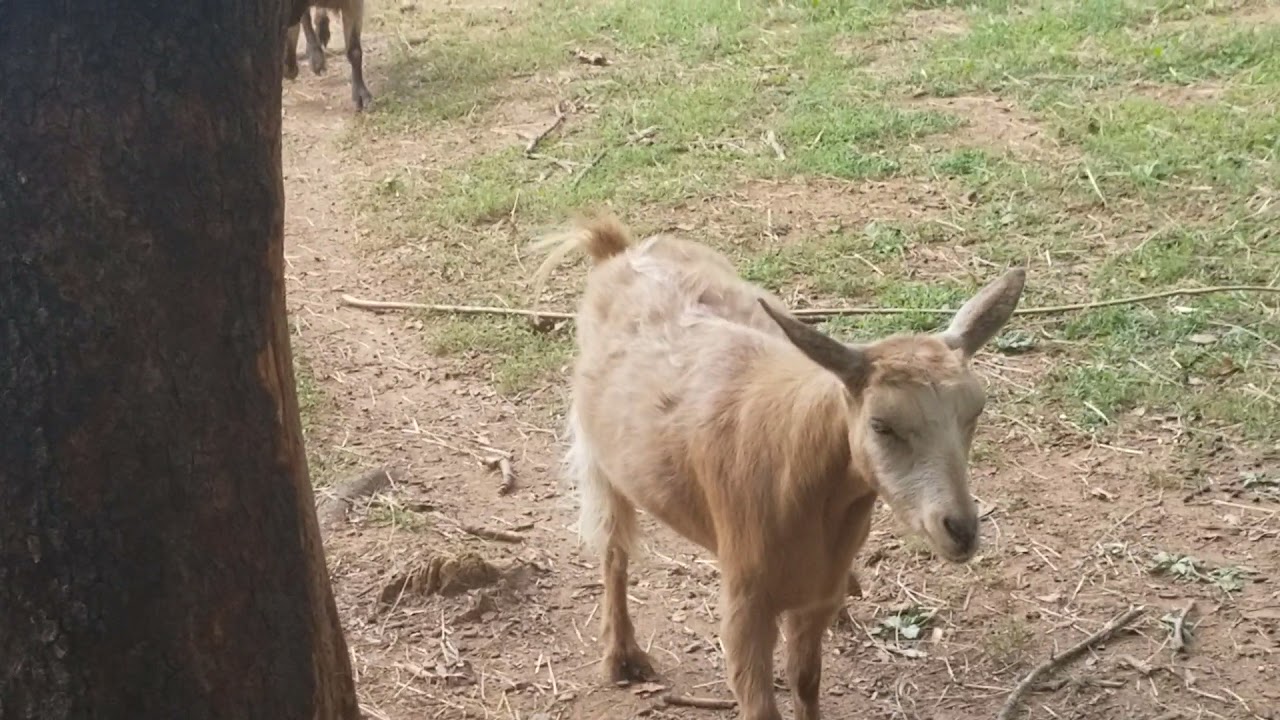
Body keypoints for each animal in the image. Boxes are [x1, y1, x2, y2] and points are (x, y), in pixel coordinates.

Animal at [531, 216, 1025, 720]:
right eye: (881, 425)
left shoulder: (816, 596)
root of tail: (618, 249)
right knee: (613, 548)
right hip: (599, 456)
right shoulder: (746, 604)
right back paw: (622, 656)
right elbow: (760, 703)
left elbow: (806, 679)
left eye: (975, 411)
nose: (961, 529)